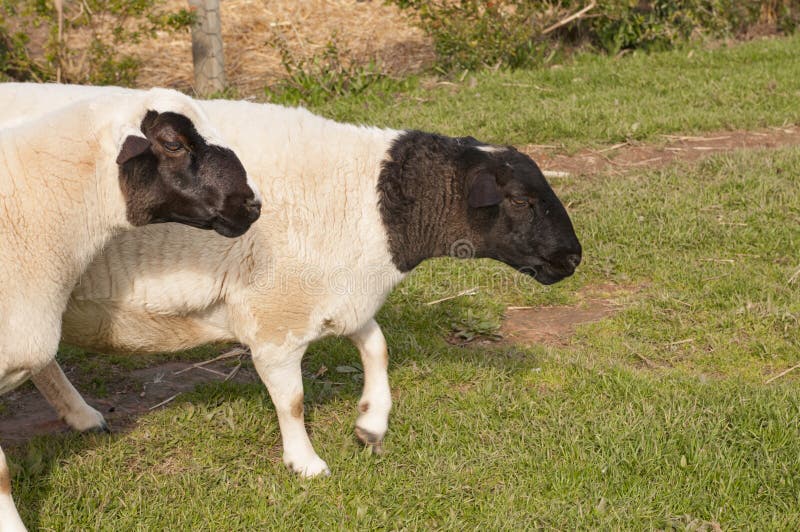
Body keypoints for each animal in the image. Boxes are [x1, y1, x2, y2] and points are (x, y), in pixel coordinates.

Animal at [0, 84, 581, 483]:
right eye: (522, 200)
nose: (573, 258)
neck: (371, 202)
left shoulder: (339, 292)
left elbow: (377, 346)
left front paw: (371, 423)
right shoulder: (274, 316)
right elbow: (294, 400)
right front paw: (305, 463)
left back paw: (83, 417)